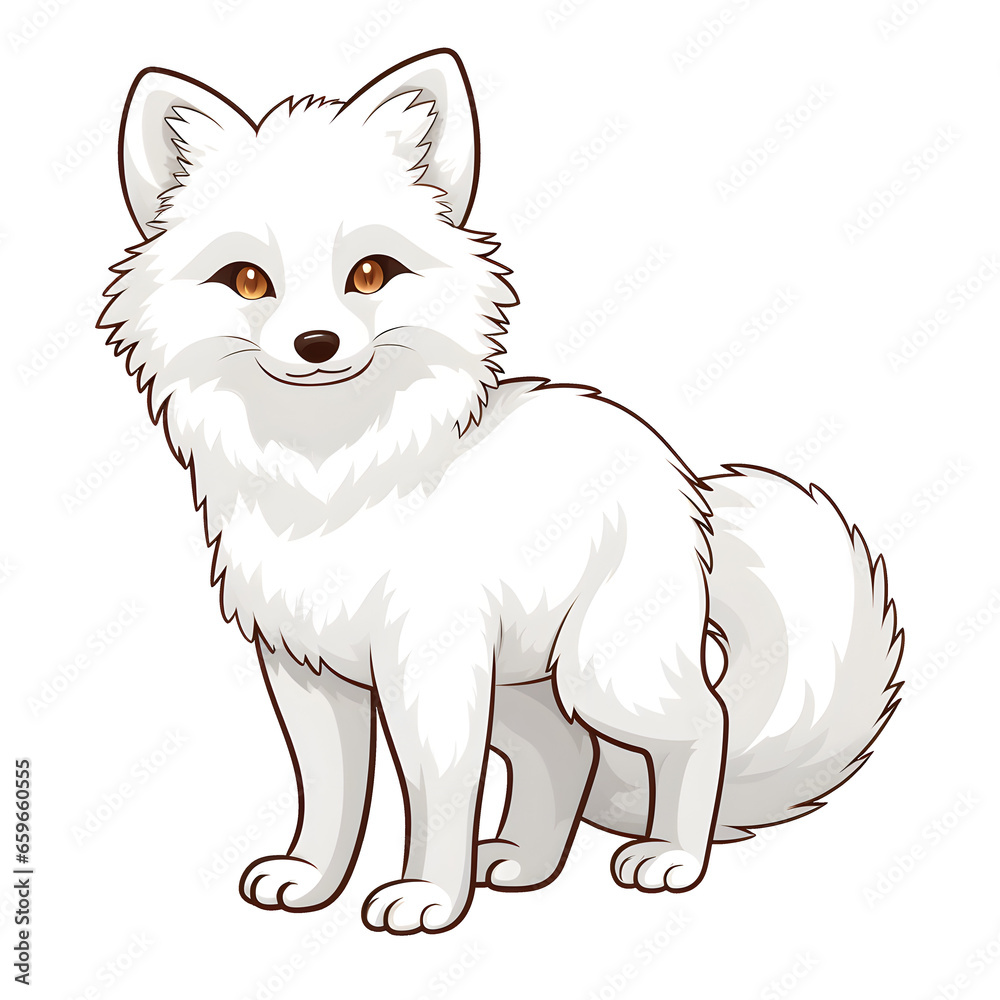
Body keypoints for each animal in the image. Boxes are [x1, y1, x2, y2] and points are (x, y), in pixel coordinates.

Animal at [99, 49, 903, 934]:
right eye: (246, 281)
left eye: (370, 274)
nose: (317, 344)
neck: (334, 475)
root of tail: (677, 477)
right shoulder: (305, 667)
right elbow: (333, 800)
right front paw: (311, 883)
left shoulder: (430, 667)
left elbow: (437, 799)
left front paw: (428, 899)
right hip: (525, 689)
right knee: (569, 750)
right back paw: (523, 865)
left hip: (600, 673)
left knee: (705, 723)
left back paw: (670, 859)